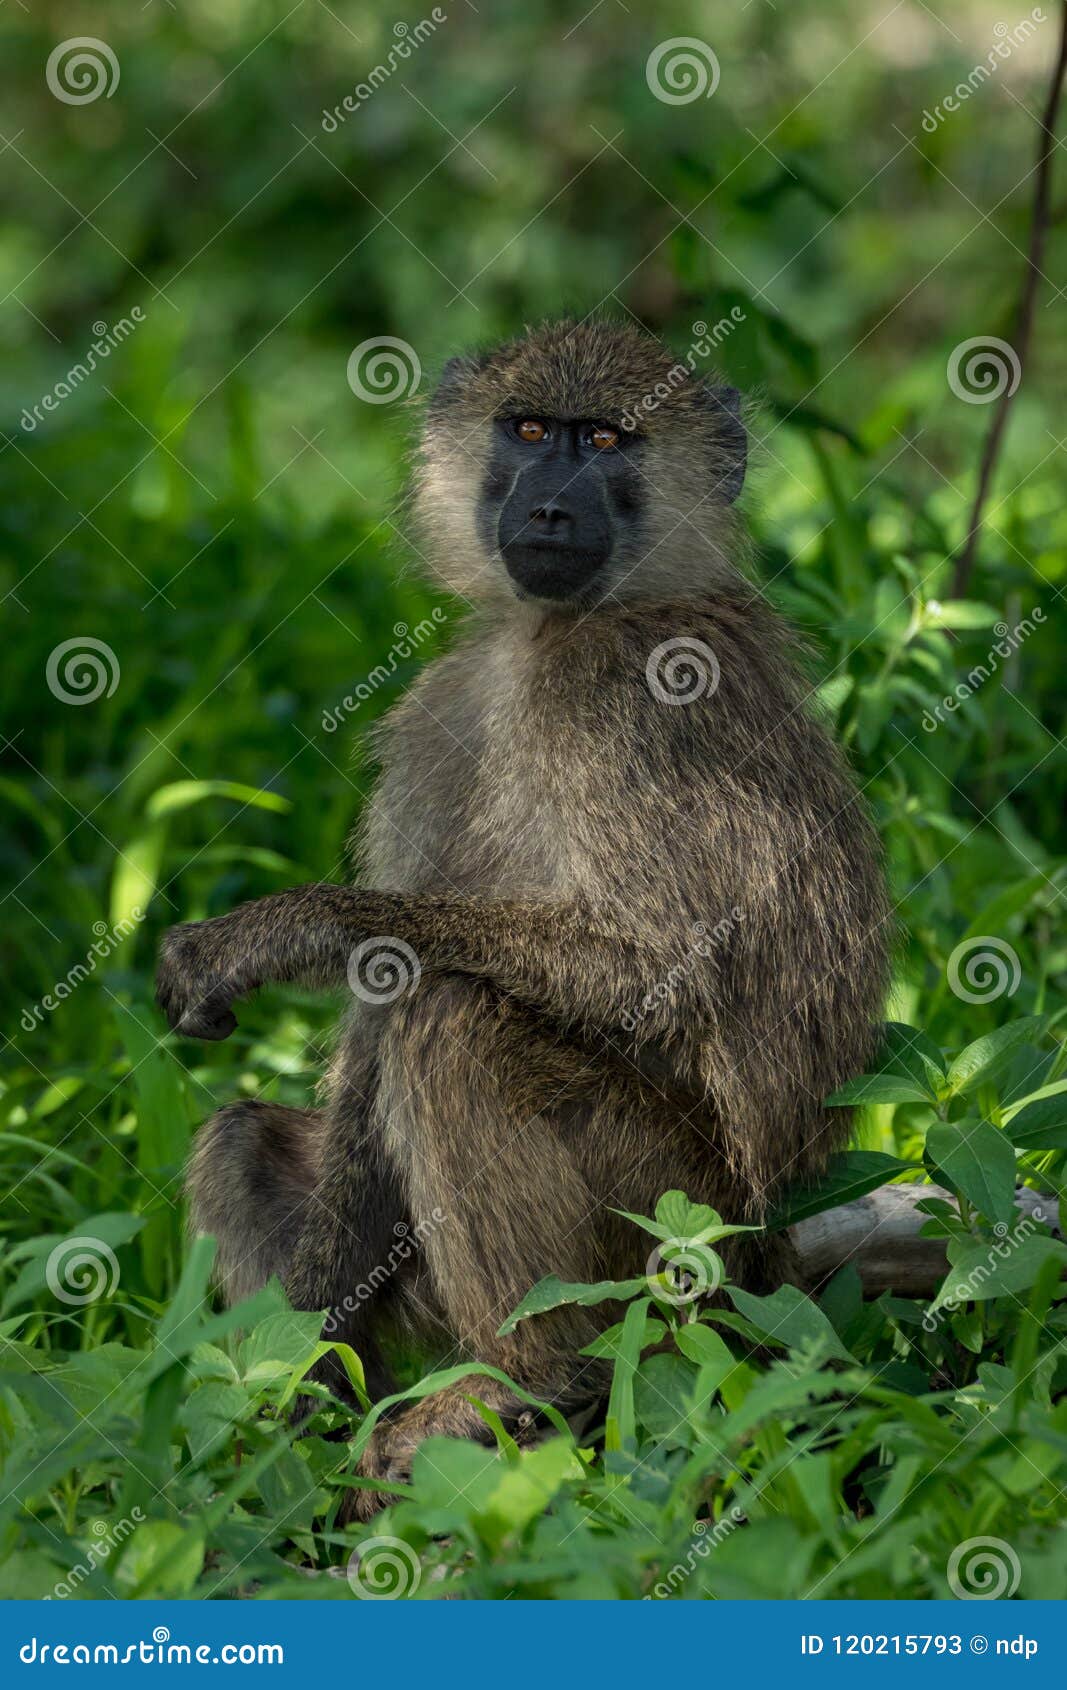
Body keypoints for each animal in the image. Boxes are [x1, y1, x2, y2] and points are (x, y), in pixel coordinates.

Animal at [158, 318, 890, 1518]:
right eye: (533, 431)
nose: (548, 509)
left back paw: (523, 1381)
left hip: (676, 1226)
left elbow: (655, 970)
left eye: (606, 440)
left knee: (451, 1017)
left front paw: (282, 929)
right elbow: (364, 1037)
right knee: (246, 1136)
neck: (552, 632)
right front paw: (287, 1395)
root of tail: (773, 1253)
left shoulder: (631, 699)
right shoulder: (436, 713)